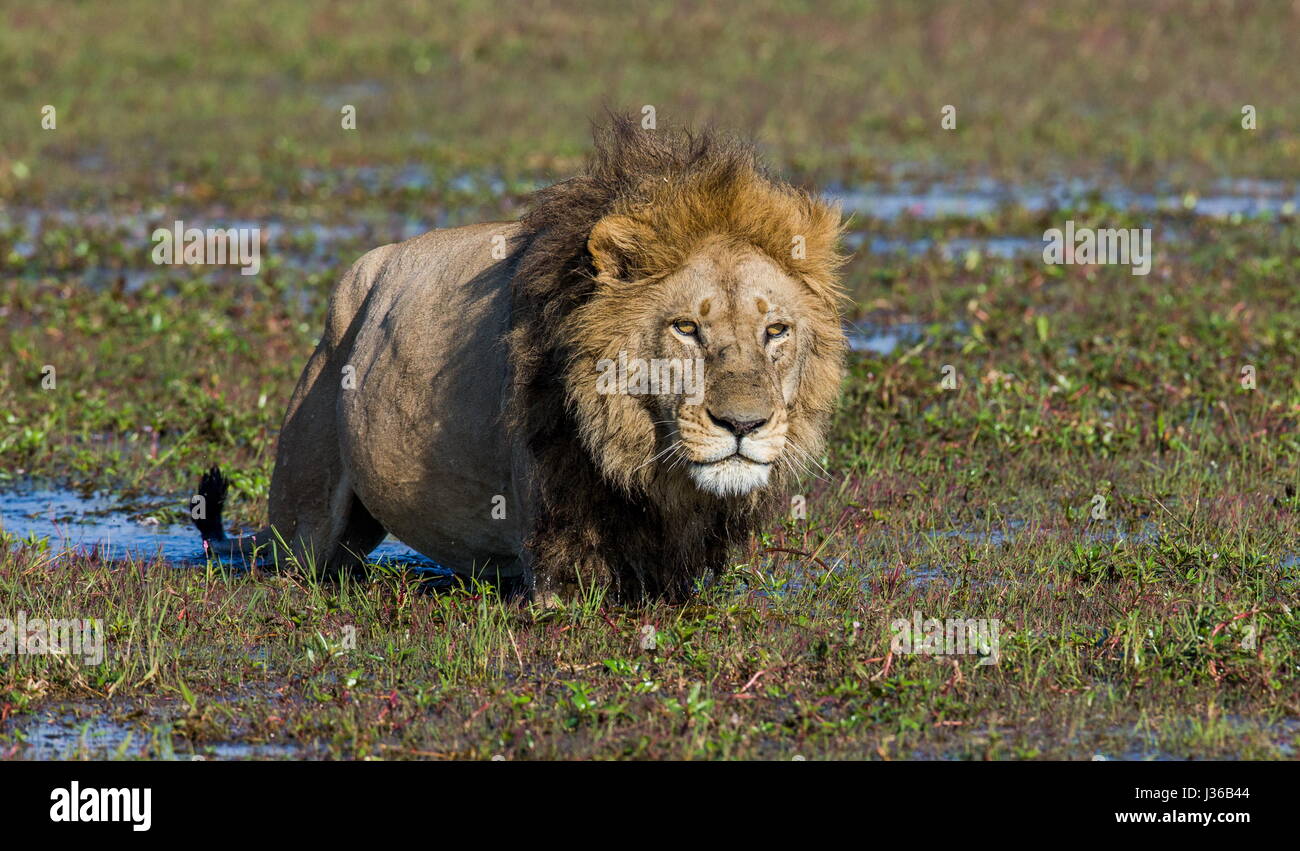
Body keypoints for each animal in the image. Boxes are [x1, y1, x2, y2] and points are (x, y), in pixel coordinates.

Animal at [193, 113, 847, 602]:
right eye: (686, 328)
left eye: (776, 331)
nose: (744, 424)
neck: (646, 466)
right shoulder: (554, 568)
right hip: (304, 521)